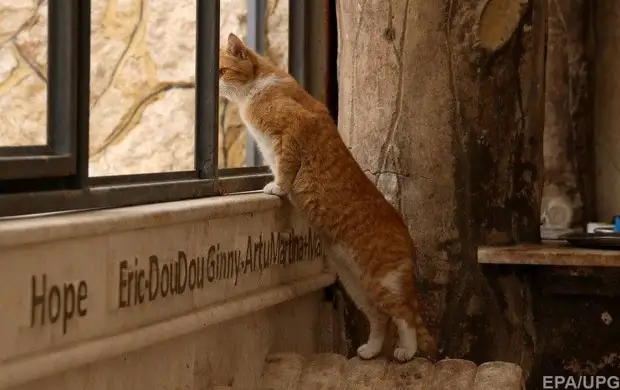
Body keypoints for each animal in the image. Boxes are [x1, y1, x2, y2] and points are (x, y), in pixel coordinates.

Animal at [218, 33, 436, 362]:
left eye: (220, 70)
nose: (211, 83)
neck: (255, 87)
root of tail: (404, 230)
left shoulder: (294, 129)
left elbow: (285, 167)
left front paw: (278, 187)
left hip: (382, 279)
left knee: (404, 315)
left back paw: (406, 352)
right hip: (356, 284)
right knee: (379, 317)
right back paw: (371, 350)